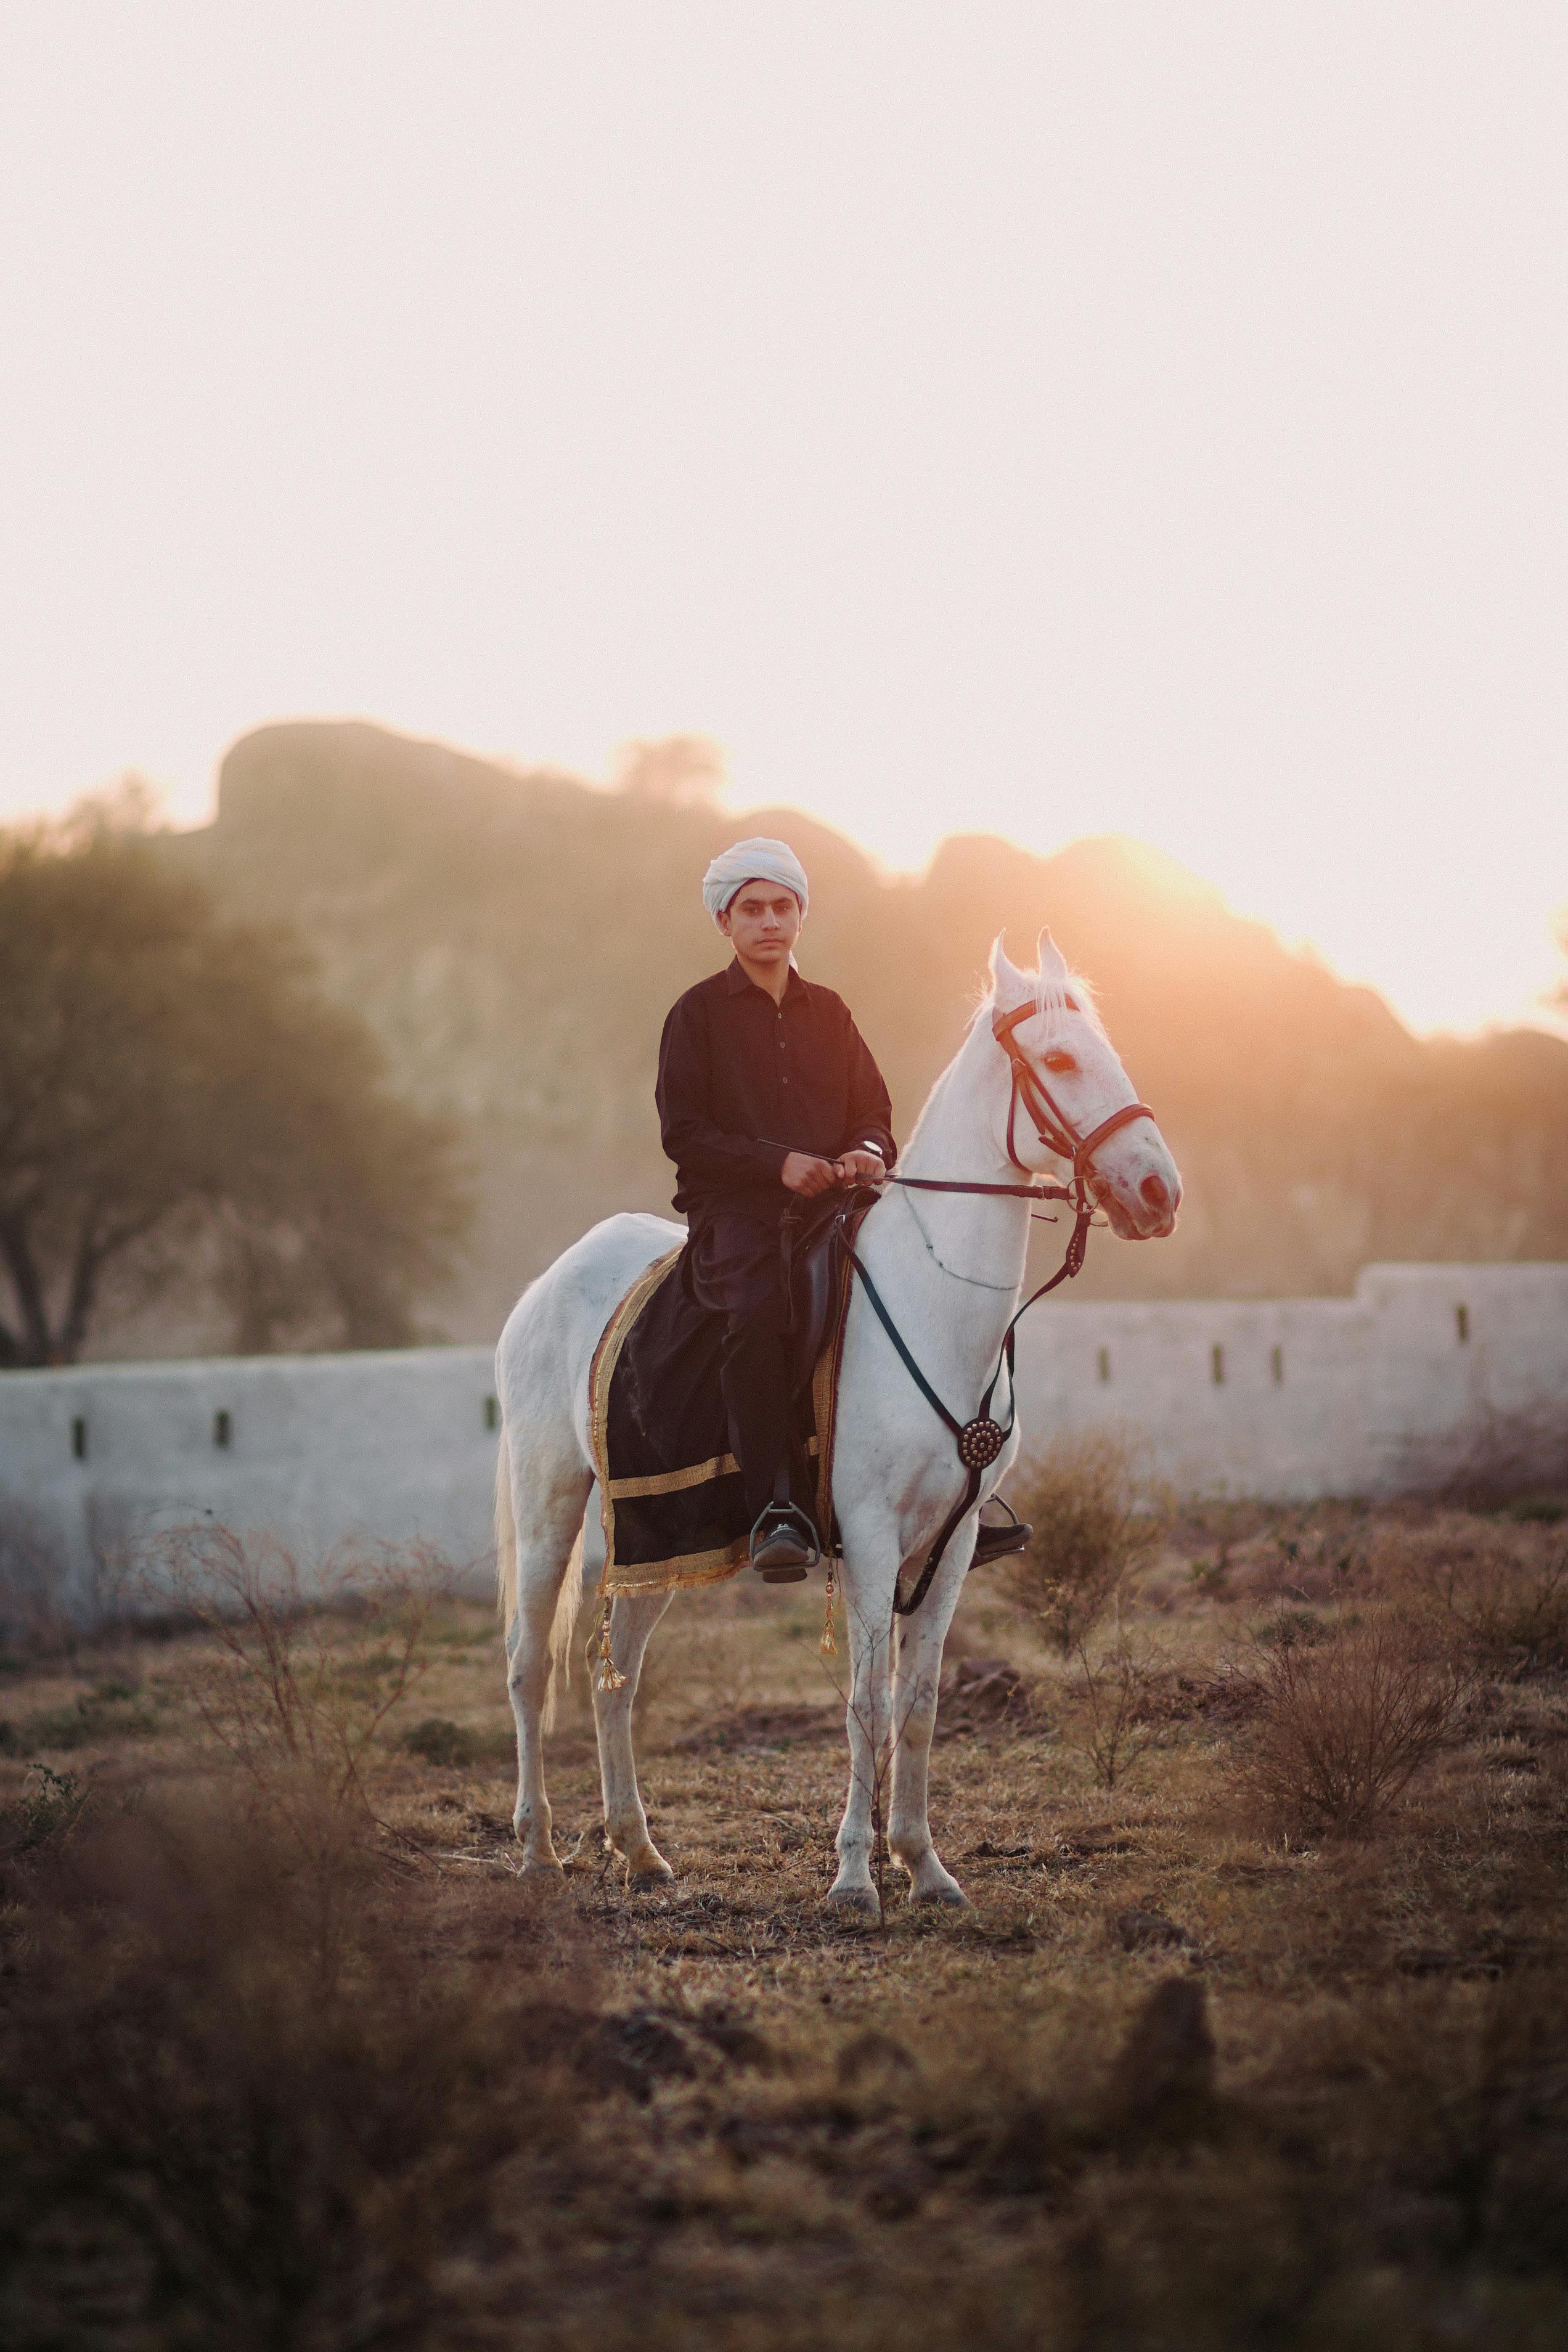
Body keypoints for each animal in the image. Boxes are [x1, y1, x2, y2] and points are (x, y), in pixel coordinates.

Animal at [494, 932, 1181, 1921]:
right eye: (1057, 1060)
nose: (1158, 1191)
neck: (937, 1304)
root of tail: (554, 1279)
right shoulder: (869, 1535)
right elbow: (865, 1703)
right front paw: (856, 1876)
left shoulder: (952, 1543)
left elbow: (920, 1704)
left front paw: (925, 1866)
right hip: (549, 1502)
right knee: (530, 1666)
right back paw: (538, 1850)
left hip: (660, 1538)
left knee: (608, 1670)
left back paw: (639, 1851)